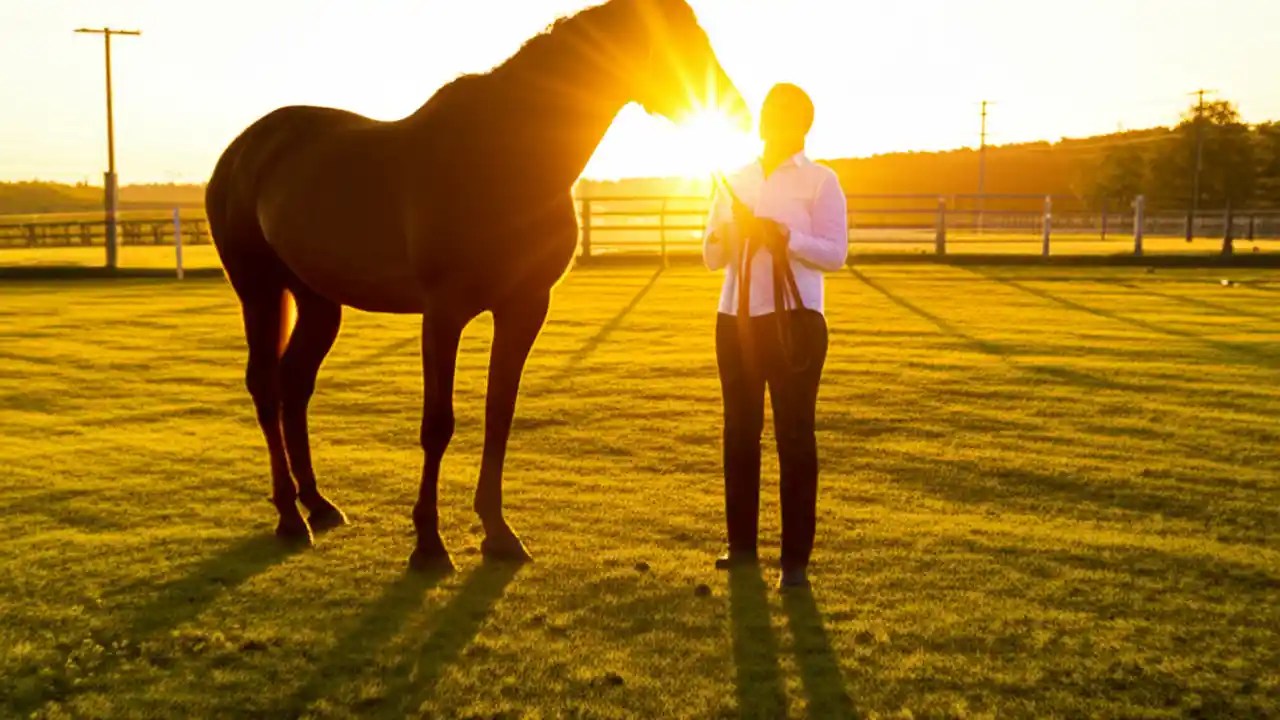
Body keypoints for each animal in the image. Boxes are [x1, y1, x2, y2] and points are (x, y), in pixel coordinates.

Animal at [205, 0, 747, 573]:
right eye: (675, 40)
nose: (734, 111)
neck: (502, 159)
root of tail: (242, 149)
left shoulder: (524, 308)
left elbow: (498, 414)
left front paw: (498, 531)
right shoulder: (443, 312)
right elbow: (437, 424)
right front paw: (429, 542)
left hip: (318, 301)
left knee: (295, 384)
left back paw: (318, 503)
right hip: (259, 290)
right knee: (265, 386)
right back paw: (290, 516)